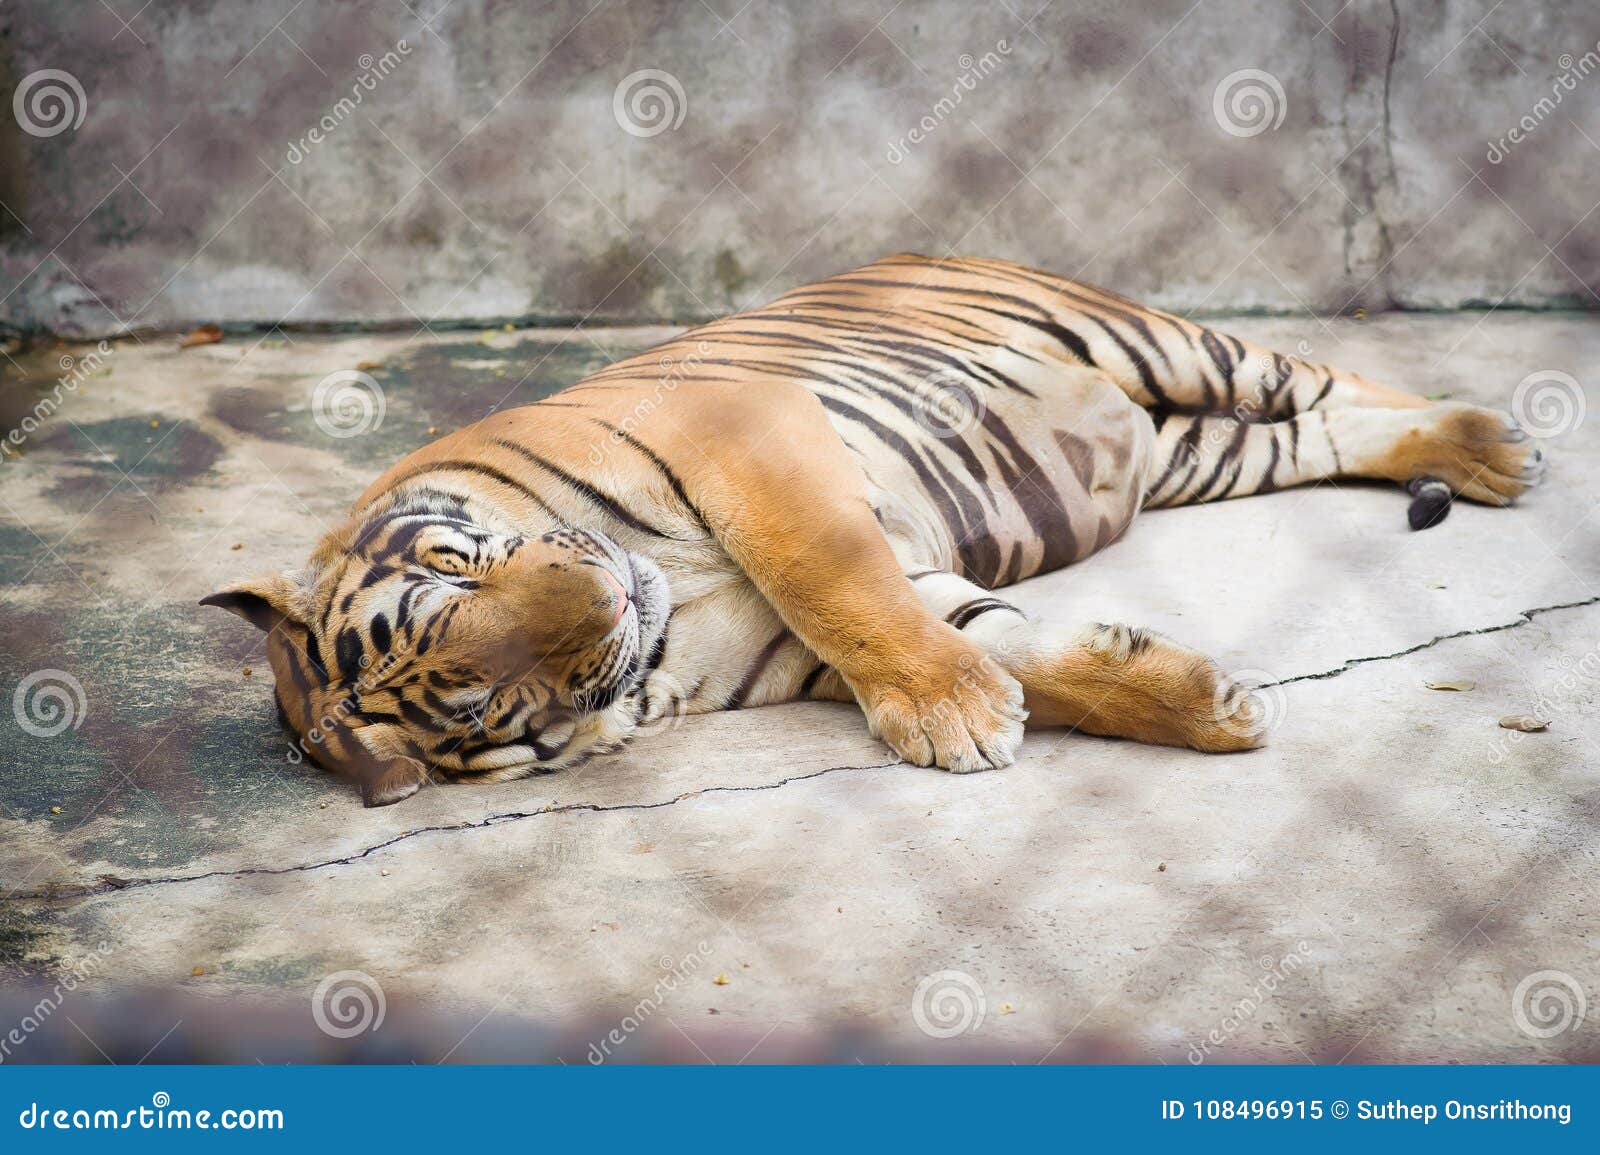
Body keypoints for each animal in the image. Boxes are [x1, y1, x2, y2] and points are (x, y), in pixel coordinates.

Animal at [203, 254, 1546, 806]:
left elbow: (833, 578)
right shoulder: (790, 643)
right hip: (1191, 450)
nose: (611, 600)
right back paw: (1474, 456)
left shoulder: (750, 438)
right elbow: (1002, 644)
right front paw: (1203, 705)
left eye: (458, 563)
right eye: (479, 697)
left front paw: (949, 713)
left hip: (1162, 344)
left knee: (1333, 378)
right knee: (1319, 427)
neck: (663, 633)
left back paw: (1499, 443)